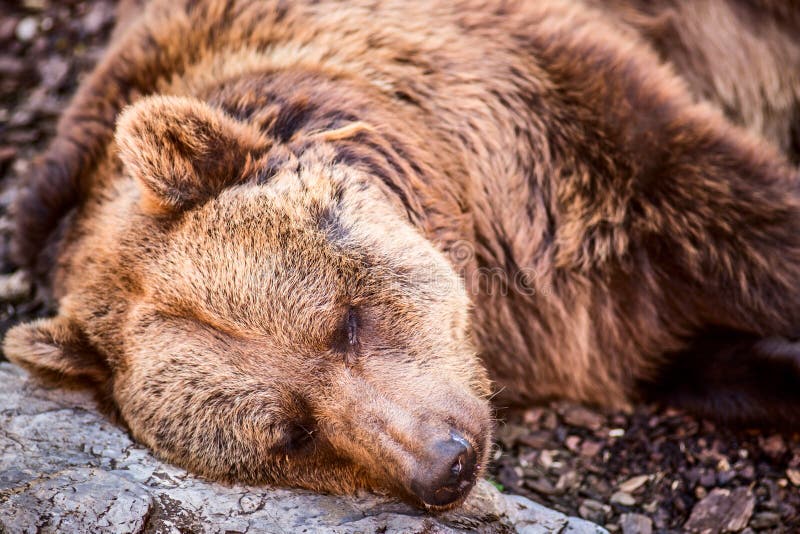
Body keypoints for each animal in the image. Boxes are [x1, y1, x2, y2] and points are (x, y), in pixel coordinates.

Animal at [4, 0, 800, 509]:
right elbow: (694, 356)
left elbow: (735, 208)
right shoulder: (601, 324)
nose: (447, 463)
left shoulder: (549, 116)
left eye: (344, 322)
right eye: (293, 434)